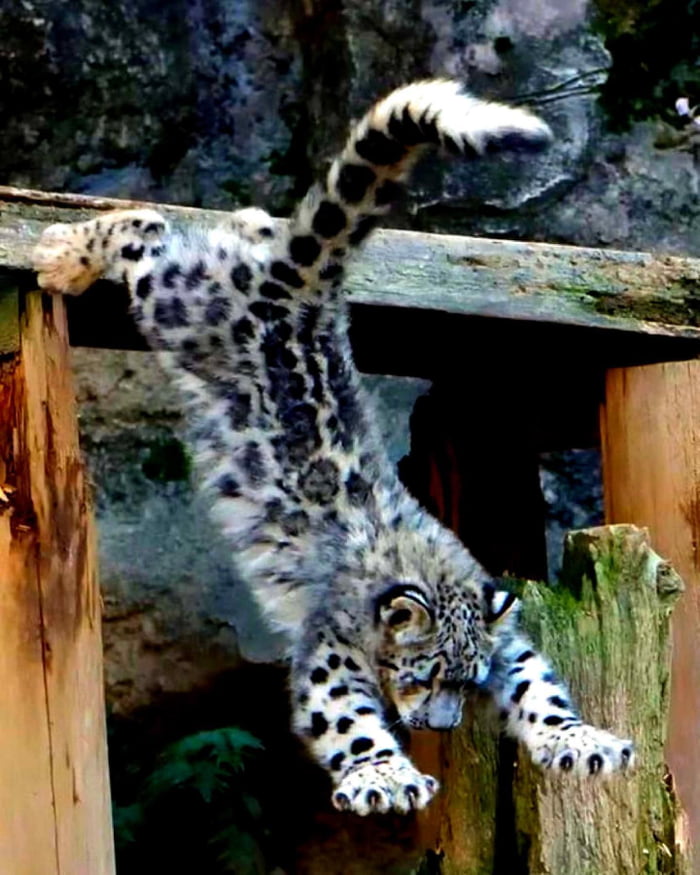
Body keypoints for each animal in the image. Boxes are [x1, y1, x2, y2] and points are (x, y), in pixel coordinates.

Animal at [33, 80, 634, 817]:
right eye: (423, 670)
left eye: (469, 679)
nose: (443, 726)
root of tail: (303, 289)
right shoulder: (330, 650)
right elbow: (347, 716)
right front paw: (388, 777)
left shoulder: (509, 645)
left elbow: (536, 684)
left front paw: (583, 741)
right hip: (173, 301)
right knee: (144, 231)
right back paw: (60, 254)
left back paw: (252, 221)